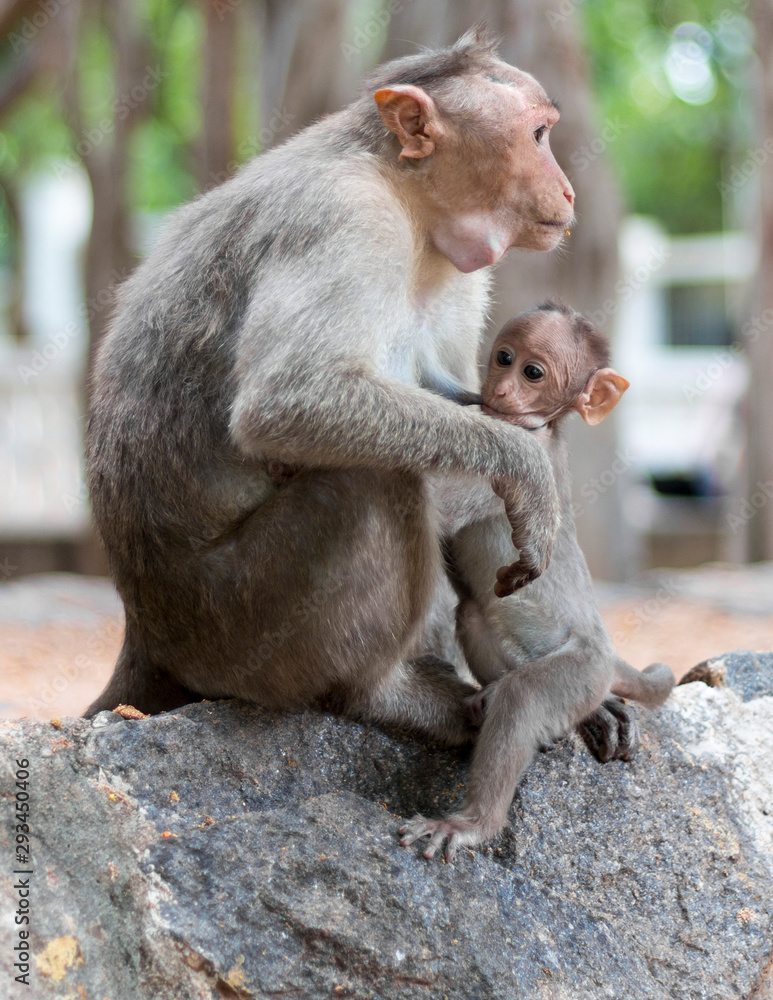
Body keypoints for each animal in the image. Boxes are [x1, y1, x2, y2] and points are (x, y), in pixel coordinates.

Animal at [84, 31, 579, 754]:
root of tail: (146, 631)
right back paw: (381, 694)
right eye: (538, 135)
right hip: (240, 625)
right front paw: (530, 470)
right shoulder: (345, 218)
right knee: (374, 477)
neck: (408, 200)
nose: (567, 190)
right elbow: (289, 401)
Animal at [399, 302, 676, 860]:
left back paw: (475, 822)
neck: (536, 426)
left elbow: (433, 504)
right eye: (504, 357)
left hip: (583, 668)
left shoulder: (505, 461)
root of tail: (605, 646)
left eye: (533, 372)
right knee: (474, 614)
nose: (502, 388)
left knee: (525, 698)